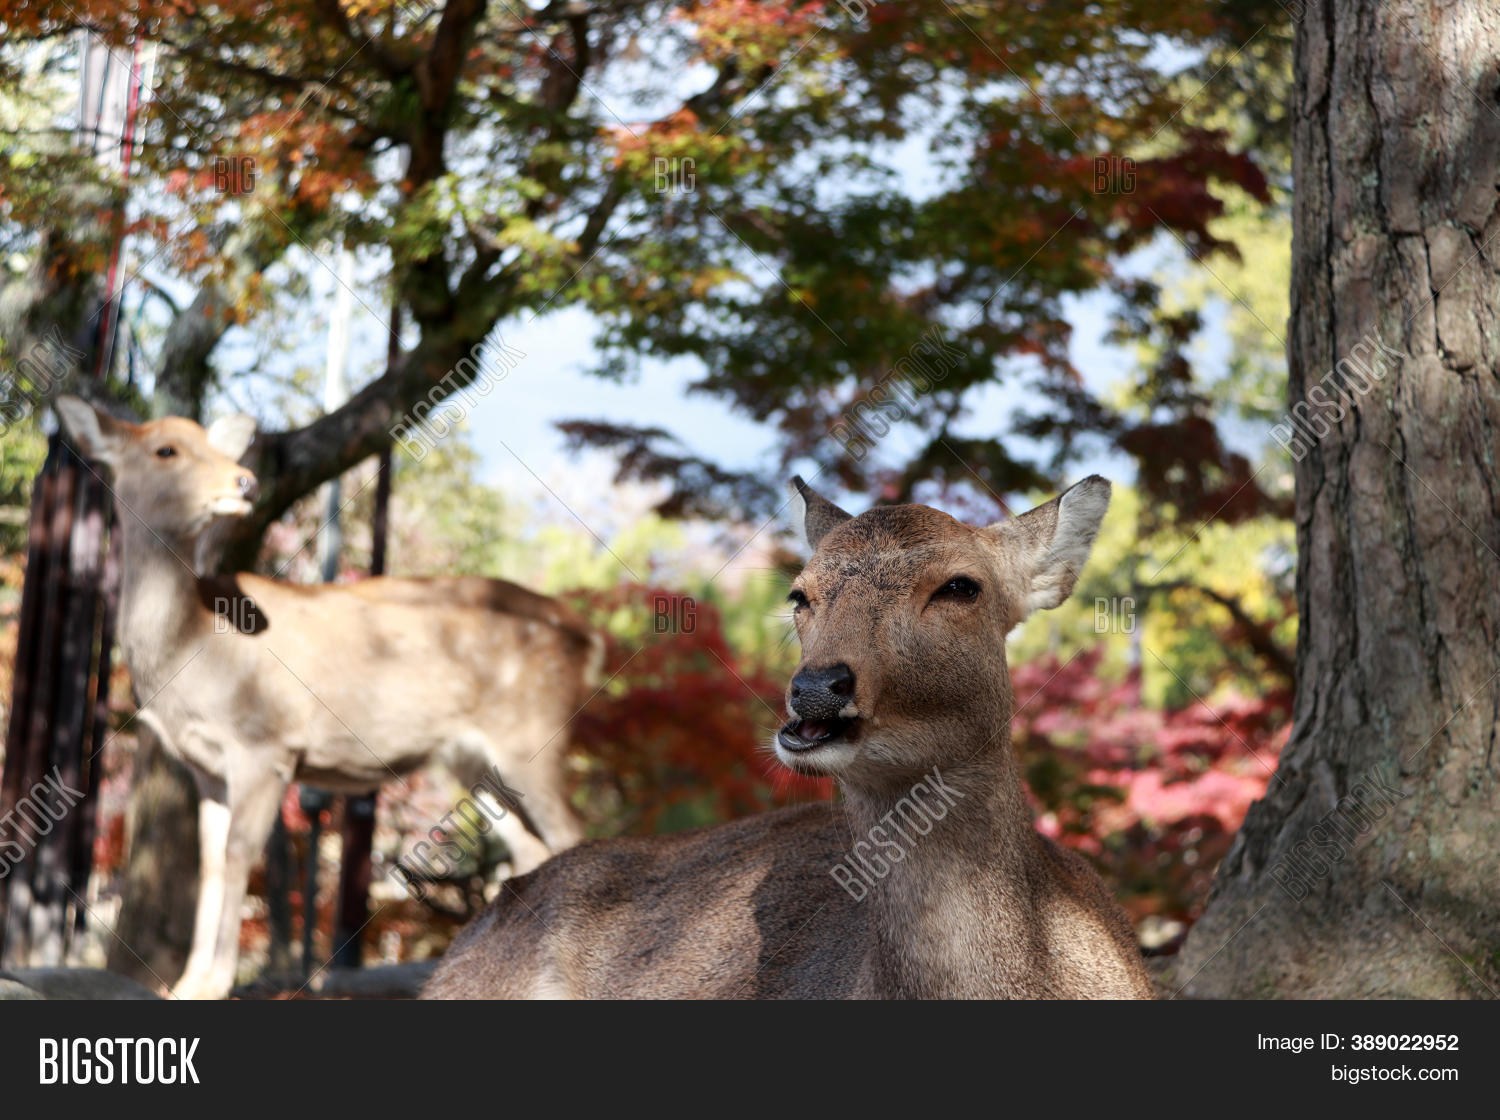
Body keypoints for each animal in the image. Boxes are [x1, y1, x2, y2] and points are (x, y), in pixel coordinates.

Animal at [53, 395, 601, 1000]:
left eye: (219, 447)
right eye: (165, 449)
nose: (245, 481)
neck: (194, 646)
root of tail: (589, 636)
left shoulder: (266, 741)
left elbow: (238, 854)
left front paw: (213, 982)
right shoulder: (203, 765)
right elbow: (211, 860)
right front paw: (186, 982)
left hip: (535, 732)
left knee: (574, 832)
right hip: (475, 762)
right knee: (530, 849)